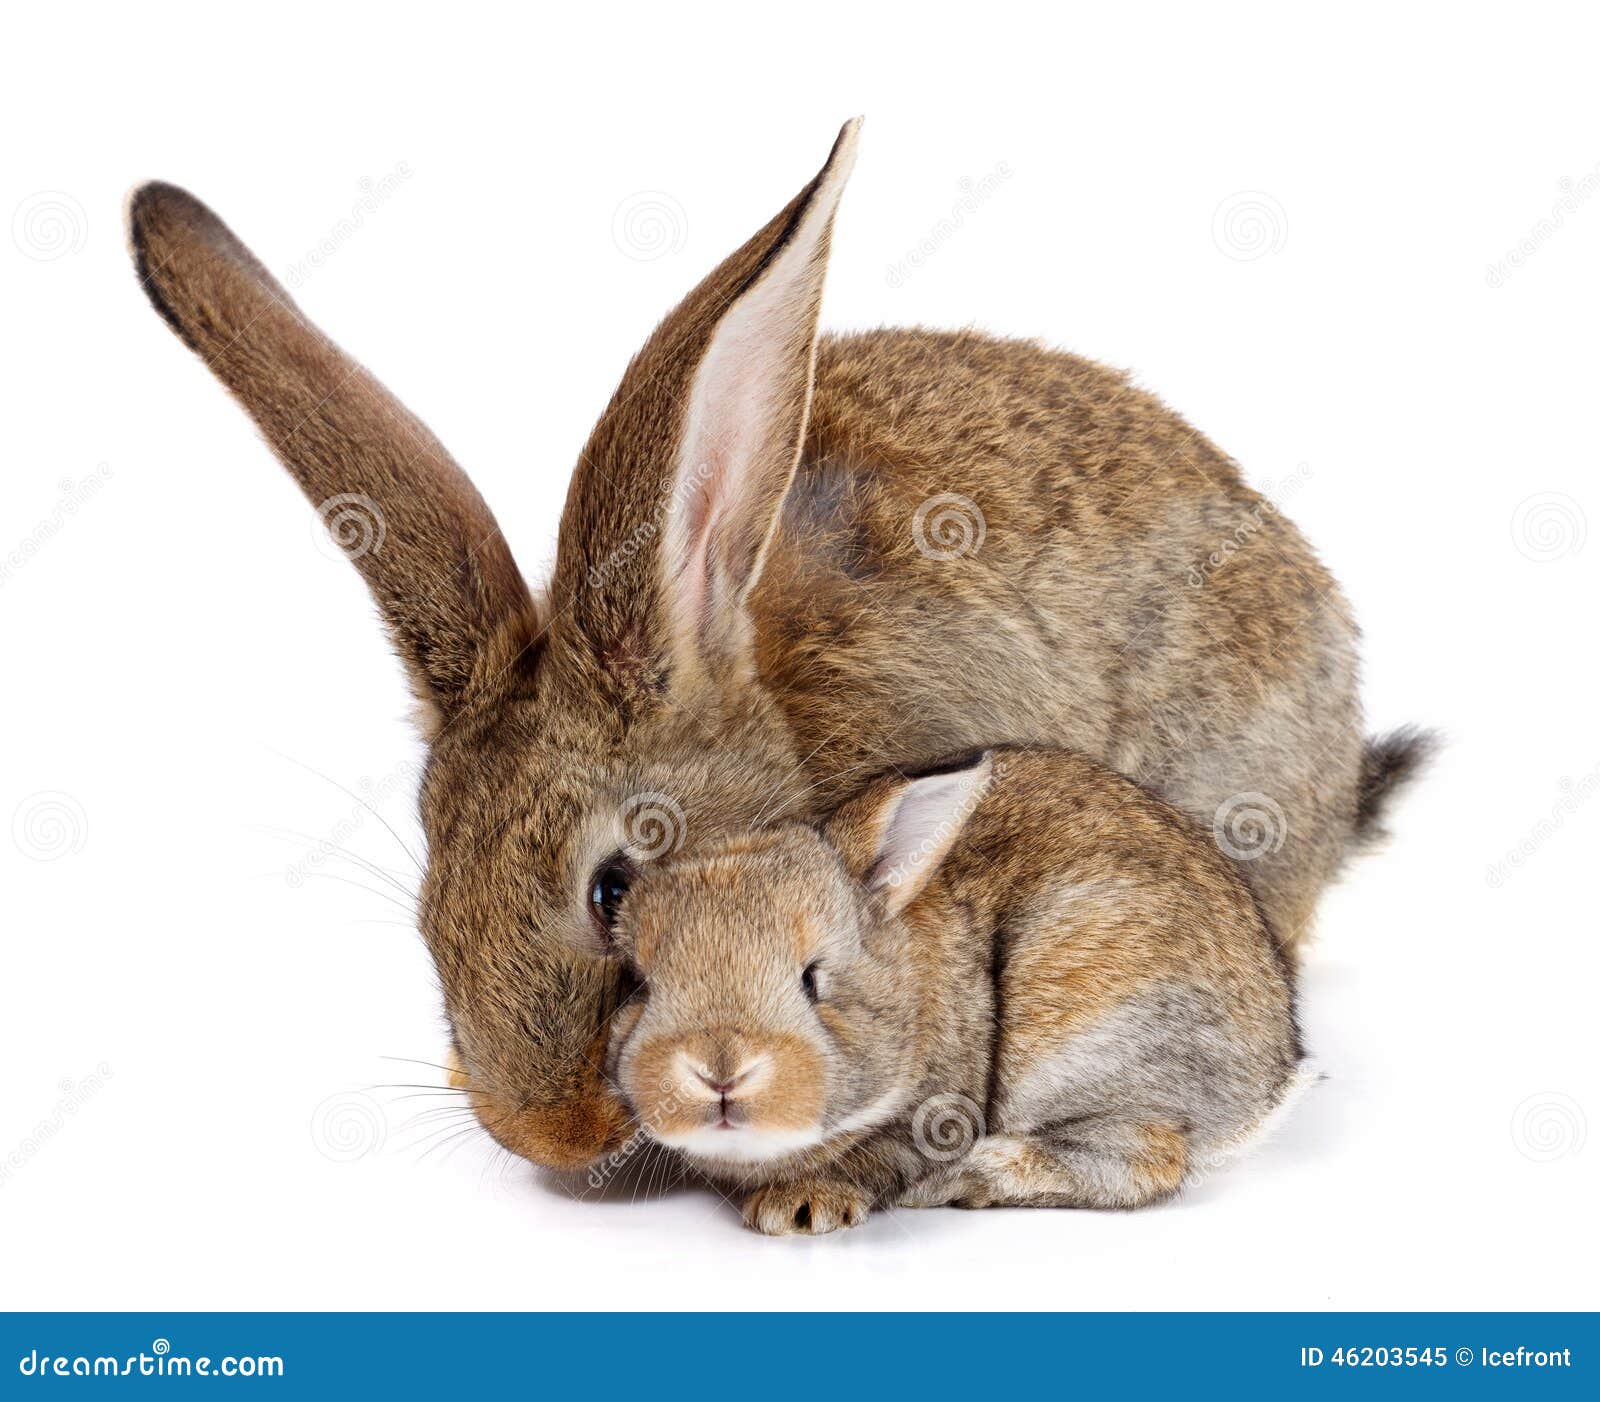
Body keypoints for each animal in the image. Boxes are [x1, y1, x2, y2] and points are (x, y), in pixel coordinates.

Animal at [606, 747, 1310, 1234]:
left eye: (813, 978)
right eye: (637, 983)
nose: (719, 1070)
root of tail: (1272, 1082)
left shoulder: (939, 1112)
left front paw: (797, 1208)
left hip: (1075, 1032)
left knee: (1151, 1158)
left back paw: (972, 1178)